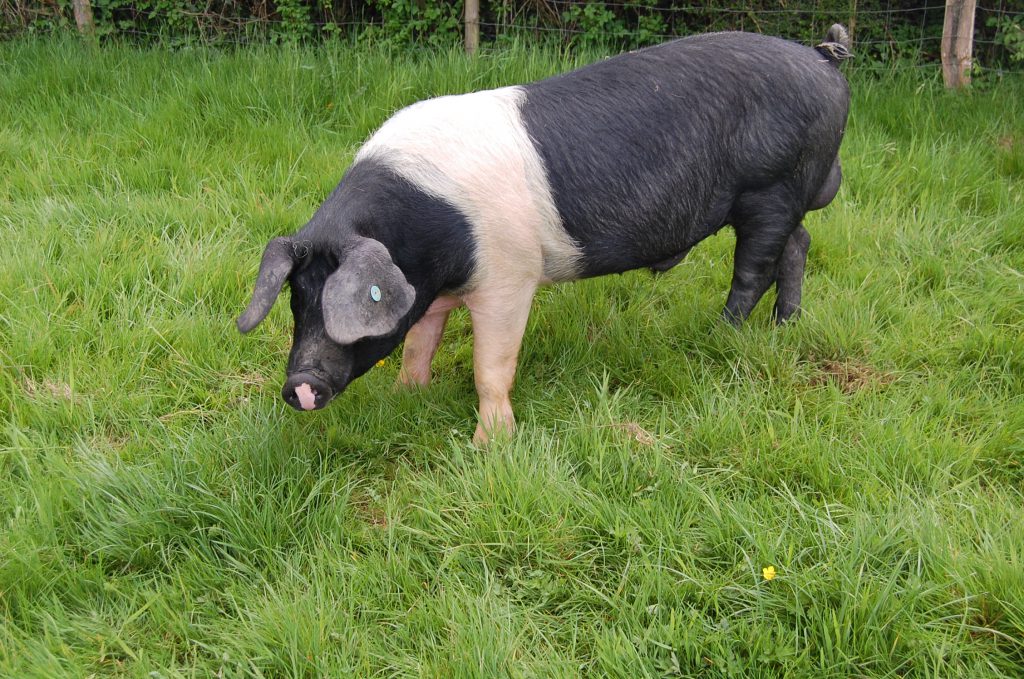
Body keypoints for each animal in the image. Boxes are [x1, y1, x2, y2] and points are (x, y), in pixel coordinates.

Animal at [238, 26, 852, 443]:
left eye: (347, 301)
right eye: (297, 299)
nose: (299, 387)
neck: (435, 233)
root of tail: (824, 61)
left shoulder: (510, 275)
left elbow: (491, 365)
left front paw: (491, 445)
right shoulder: (430, 287)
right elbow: (418, 340)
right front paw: (407, 394)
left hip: (773, 187)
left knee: (756, 266)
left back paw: (723, 333)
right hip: (783, 197)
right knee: (798, 246)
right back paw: (786, 326)